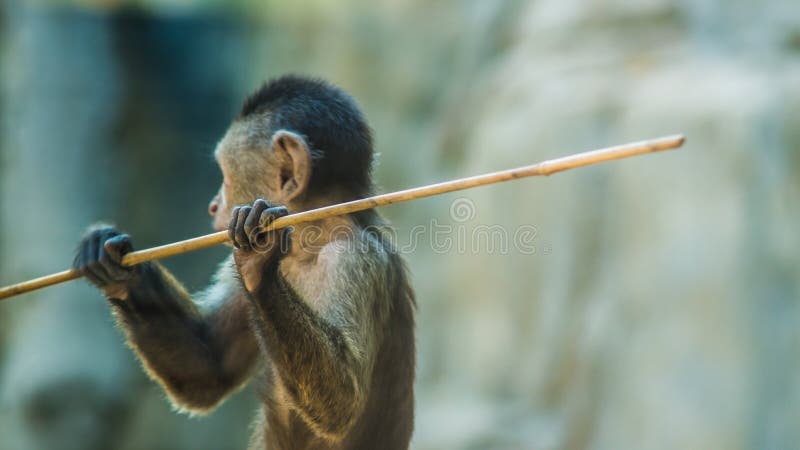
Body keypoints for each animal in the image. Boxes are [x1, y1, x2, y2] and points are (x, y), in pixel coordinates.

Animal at [72, 75, 416, 449]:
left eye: (225, 176)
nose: (213, 205)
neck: (313, 240)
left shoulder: (353, 259)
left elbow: (343, 402)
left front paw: (258, 261)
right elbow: (209, 369)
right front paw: (114, 264)